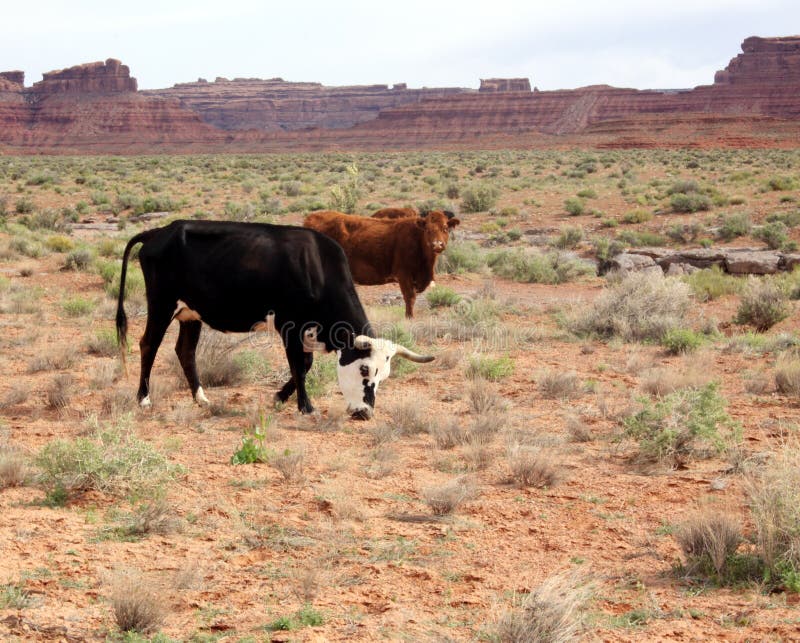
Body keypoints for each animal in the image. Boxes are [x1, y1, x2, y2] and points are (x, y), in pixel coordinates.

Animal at [114, 220, 434, 420]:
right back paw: (143, 398)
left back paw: (201, 398)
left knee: (185, 351)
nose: (364, 413)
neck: (317, 266)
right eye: (365, 369)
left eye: (385, 376)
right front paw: (306, 407)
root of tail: (159, 231)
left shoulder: (307, 330)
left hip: (191, 314)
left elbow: (305, 363)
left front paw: (280, 397)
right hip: (161, 304)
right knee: (148, 345)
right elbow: (299, 365)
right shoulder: (288, 326)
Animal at [304, 209, 460, 318]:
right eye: (428, 230)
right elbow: (410, 297)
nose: (437, 244)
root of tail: (311, 218)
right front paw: (409, 318)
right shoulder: (404, 275)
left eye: (445, 228)